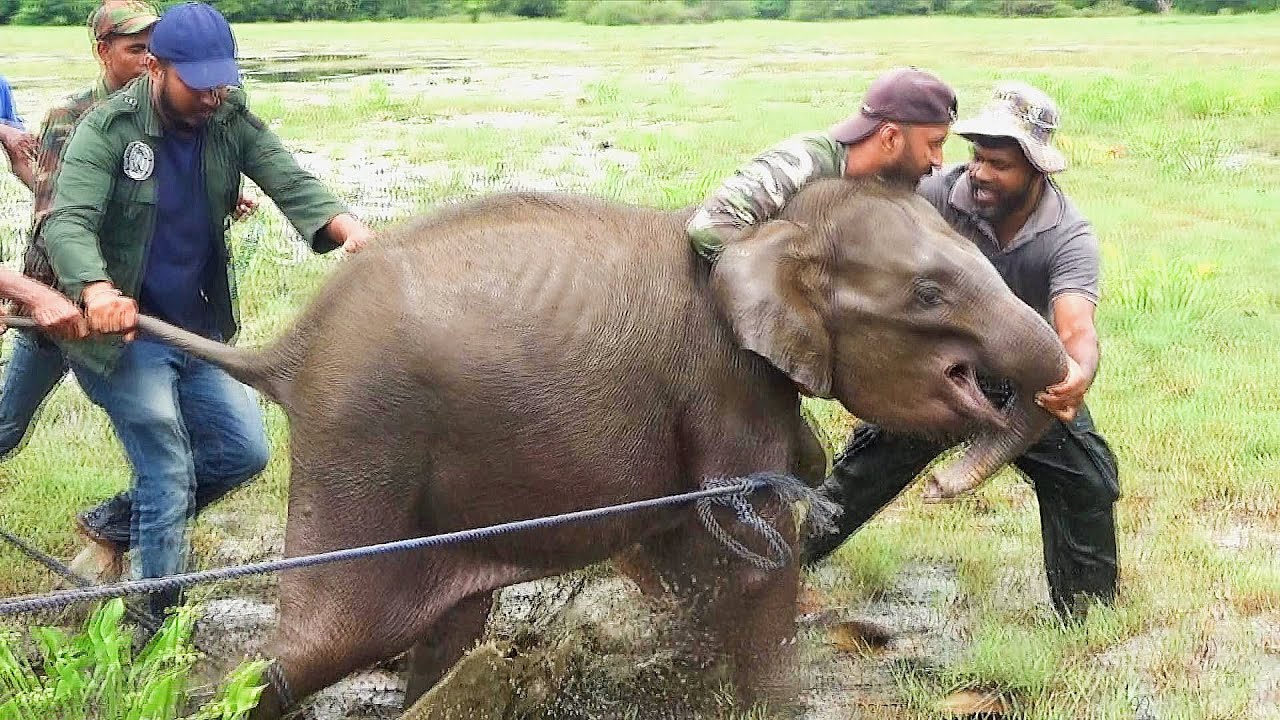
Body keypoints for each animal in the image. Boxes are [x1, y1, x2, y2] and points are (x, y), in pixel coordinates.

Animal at [136, 177, 1068, 717]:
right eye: (929, 292)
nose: (946, 487)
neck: (772, 228)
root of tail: (288, 349)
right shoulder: (721, 376)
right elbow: (751, 542)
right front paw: (776, 703)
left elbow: (704, 548)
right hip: (365, 441)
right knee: (339, 633)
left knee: (445, 625)